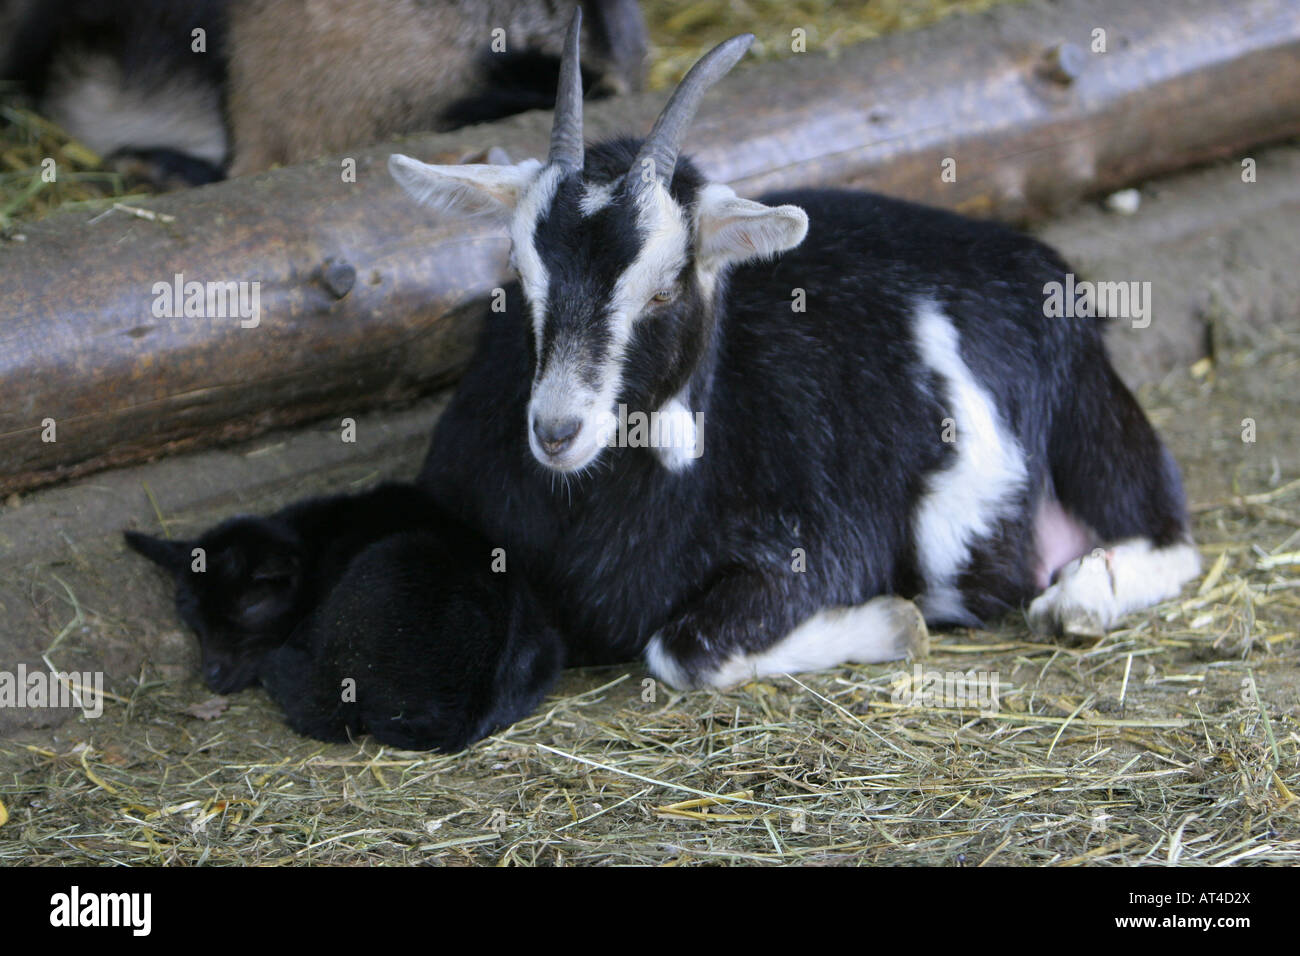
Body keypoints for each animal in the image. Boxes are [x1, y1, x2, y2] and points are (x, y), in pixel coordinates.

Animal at [390, 11, 1200, 690]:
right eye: (521, 276)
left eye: (665, 290)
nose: (558, 431)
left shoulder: (822, 544)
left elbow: (681, 649)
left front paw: (895, 622)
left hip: (1086, 415)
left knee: (1168, 531)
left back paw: (1084, 595)